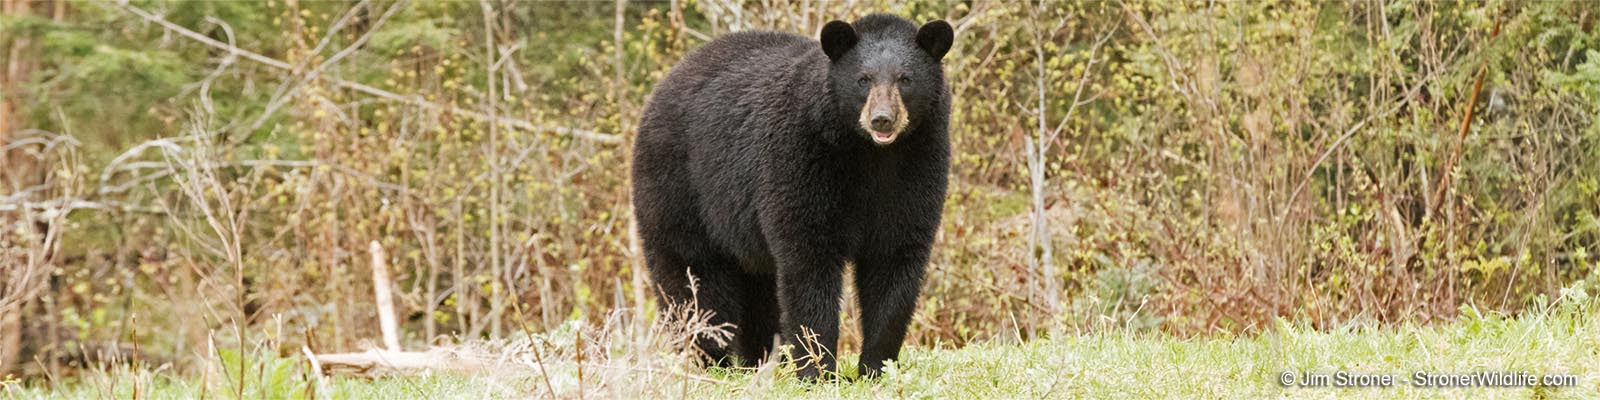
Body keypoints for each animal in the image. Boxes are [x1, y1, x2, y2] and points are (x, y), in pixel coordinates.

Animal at [631, 14, 953, 380]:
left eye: (905, 79)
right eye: (863, 79)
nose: (882, 119)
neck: (870, 155)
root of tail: (665, 82)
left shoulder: (915, 169)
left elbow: (894, 260)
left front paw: (875, 366)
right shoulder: (800, 159)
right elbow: (809, 261)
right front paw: (818, 370)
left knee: (758, 292)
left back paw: (759, 360)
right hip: (680, 189)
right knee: (692, 275)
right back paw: (709, 359)